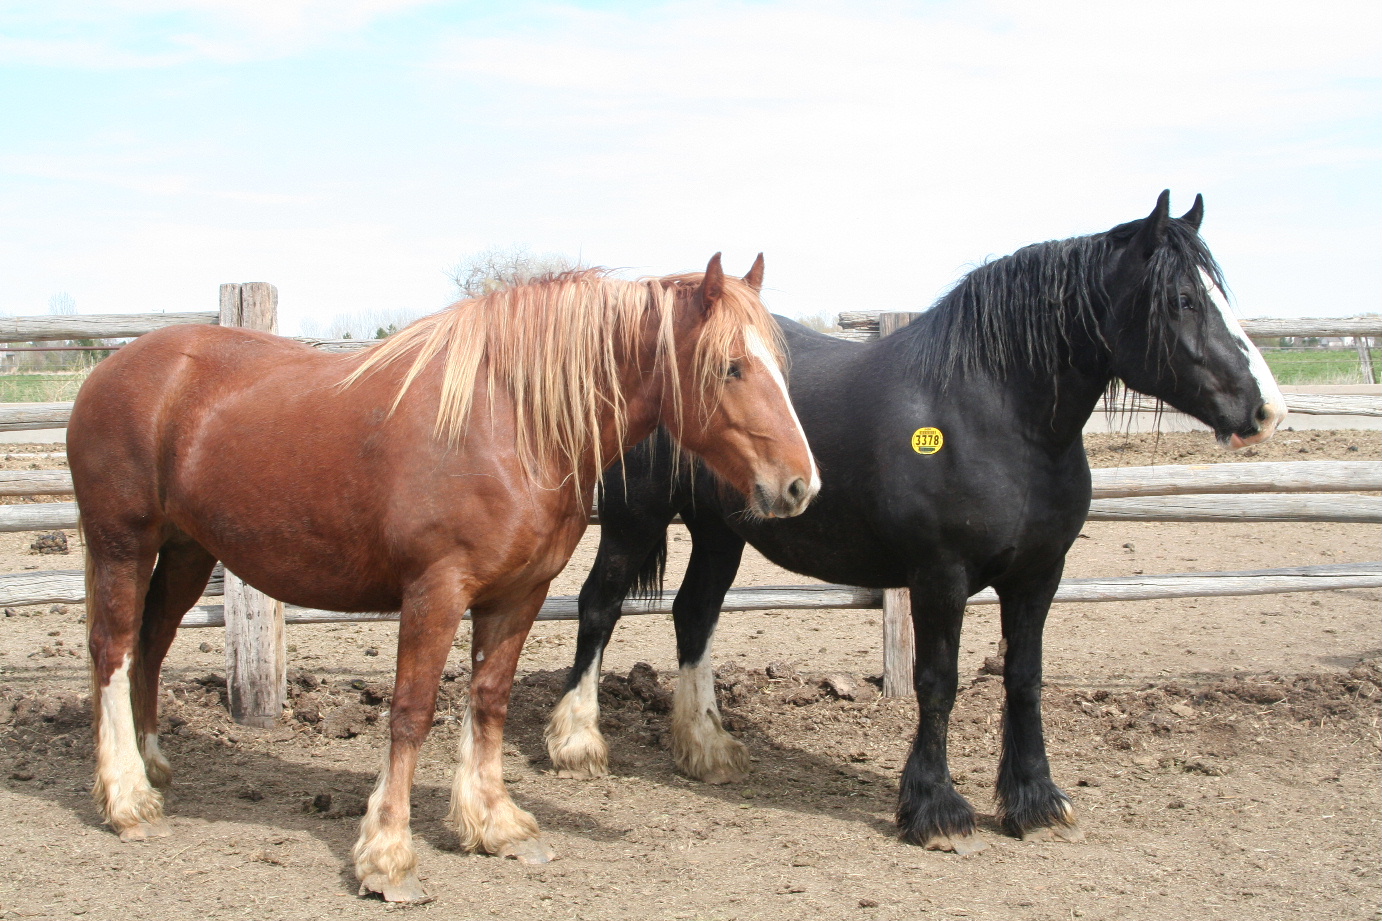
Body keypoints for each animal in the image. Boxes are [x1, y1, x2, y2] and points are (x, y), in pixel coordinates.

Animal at [69, 254, 820, 903]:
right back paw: (127, 800)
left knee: (150, 646)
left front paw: (496, 825)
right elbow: (411, 713)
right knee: (113, 650)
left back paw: (151, 768)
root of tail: (112, 370)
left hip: (187, 553)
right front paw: (387, 856)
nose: (800, 484)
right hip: (122, 546)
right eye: (729, 366)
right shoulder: (435, 591)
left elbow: (489, 701)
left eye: (778, 365)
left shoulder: (518, 596)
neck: (510, 422)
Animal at [545, 193, 1286, 853]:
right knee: (599, 605)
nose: (1267, 410)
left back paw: (706, 749)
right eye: (1182, 299)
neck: (990, 413)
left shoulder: (1039, 576)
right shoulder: (940, 577)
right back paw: (577, 743)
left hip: (724, 530)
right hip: (635, 519)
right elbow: (938, 683)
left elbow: (1025, 677)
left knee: (694, 614)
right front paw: (935, 811)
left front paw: (1035, 803)